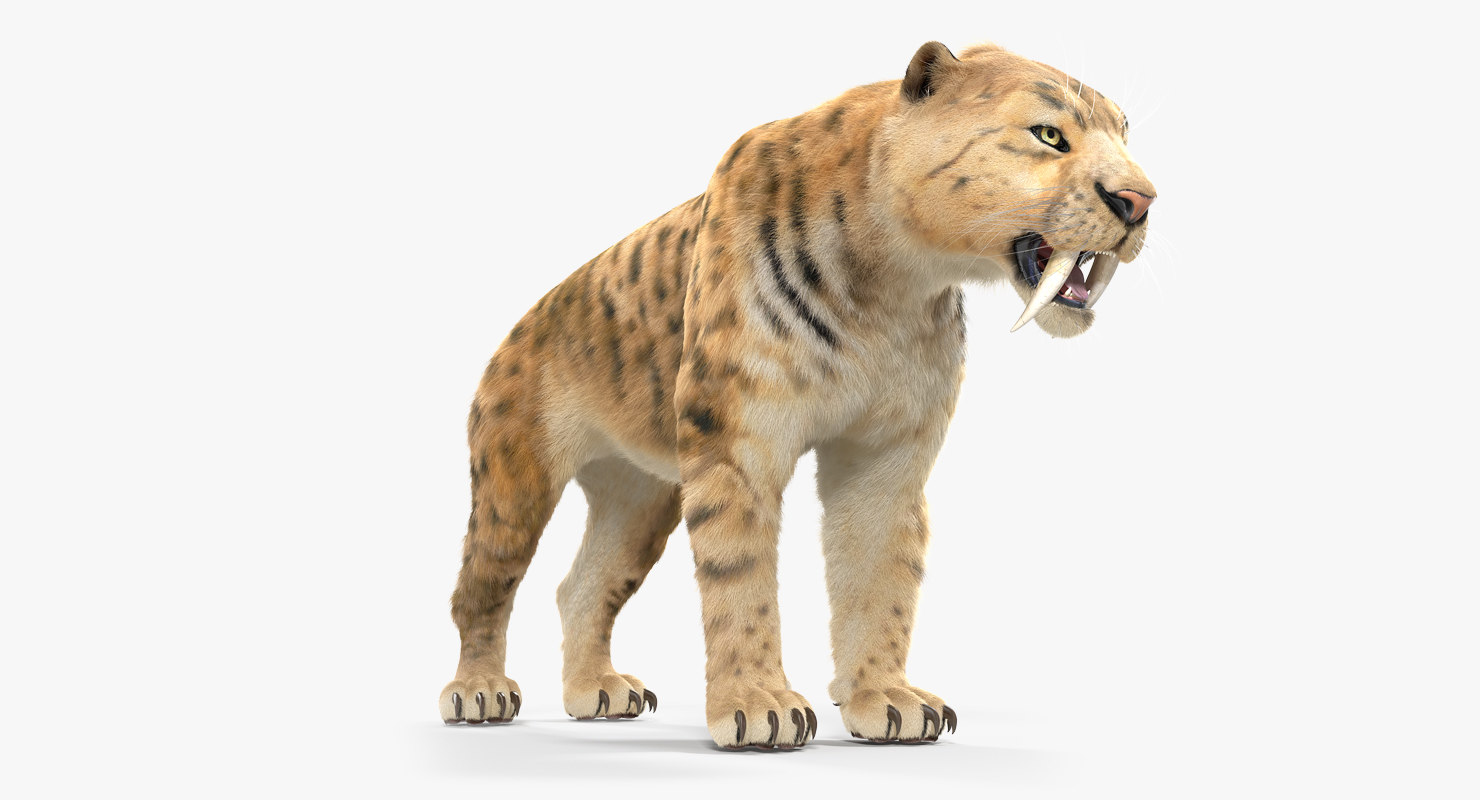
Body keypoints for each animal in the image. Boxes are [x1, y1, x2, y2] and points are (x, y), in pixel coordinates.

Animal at [439, 40, 1155, 749]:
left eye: (1125, 136)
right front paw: (759, 707)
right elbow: (742, 581)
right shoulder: (737, 447)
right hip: (515, 484)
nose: (1141, 201)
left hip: (636, 501)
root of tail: (522, 326)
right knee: (480, 590)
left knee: (581, 587)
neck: (894, 282)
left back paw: (597, 692)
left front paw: (884, 699)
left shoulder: (886, 460)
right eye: (1049, 135)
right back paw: (479, 692)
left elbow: (882, 581)